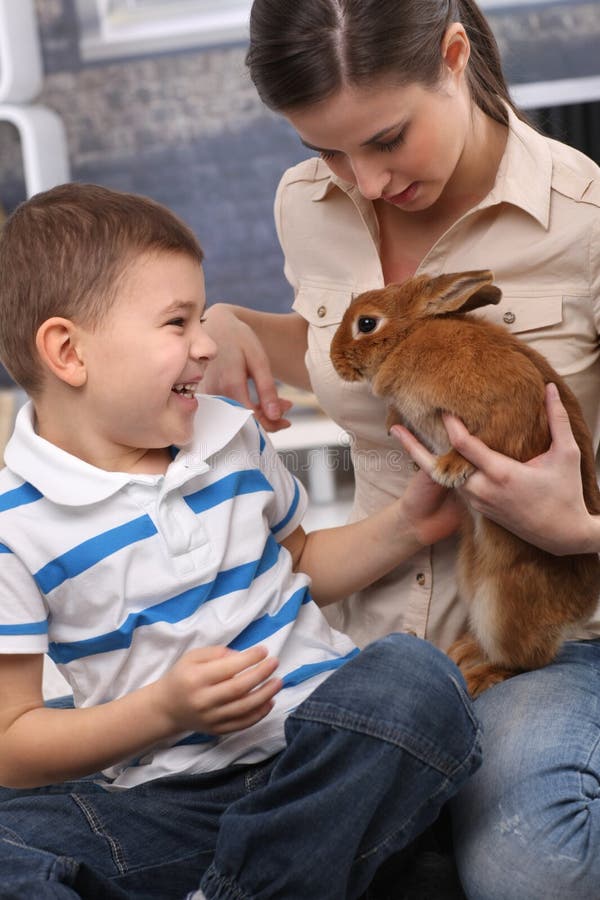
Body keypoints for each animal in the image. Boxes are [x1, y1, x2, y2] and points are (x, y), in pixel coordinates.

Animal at [330, 269, 600, 697]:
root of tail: (582, 607)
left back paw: (476, 677)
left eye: (367, 323)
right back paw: (462, 651)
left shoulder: (512, 400)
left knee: (527, 660)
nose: (335, 359)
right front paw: (393, 420)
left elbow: (491, 438)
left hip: (501, 605)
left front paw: (450, 466)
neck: (411, 338)